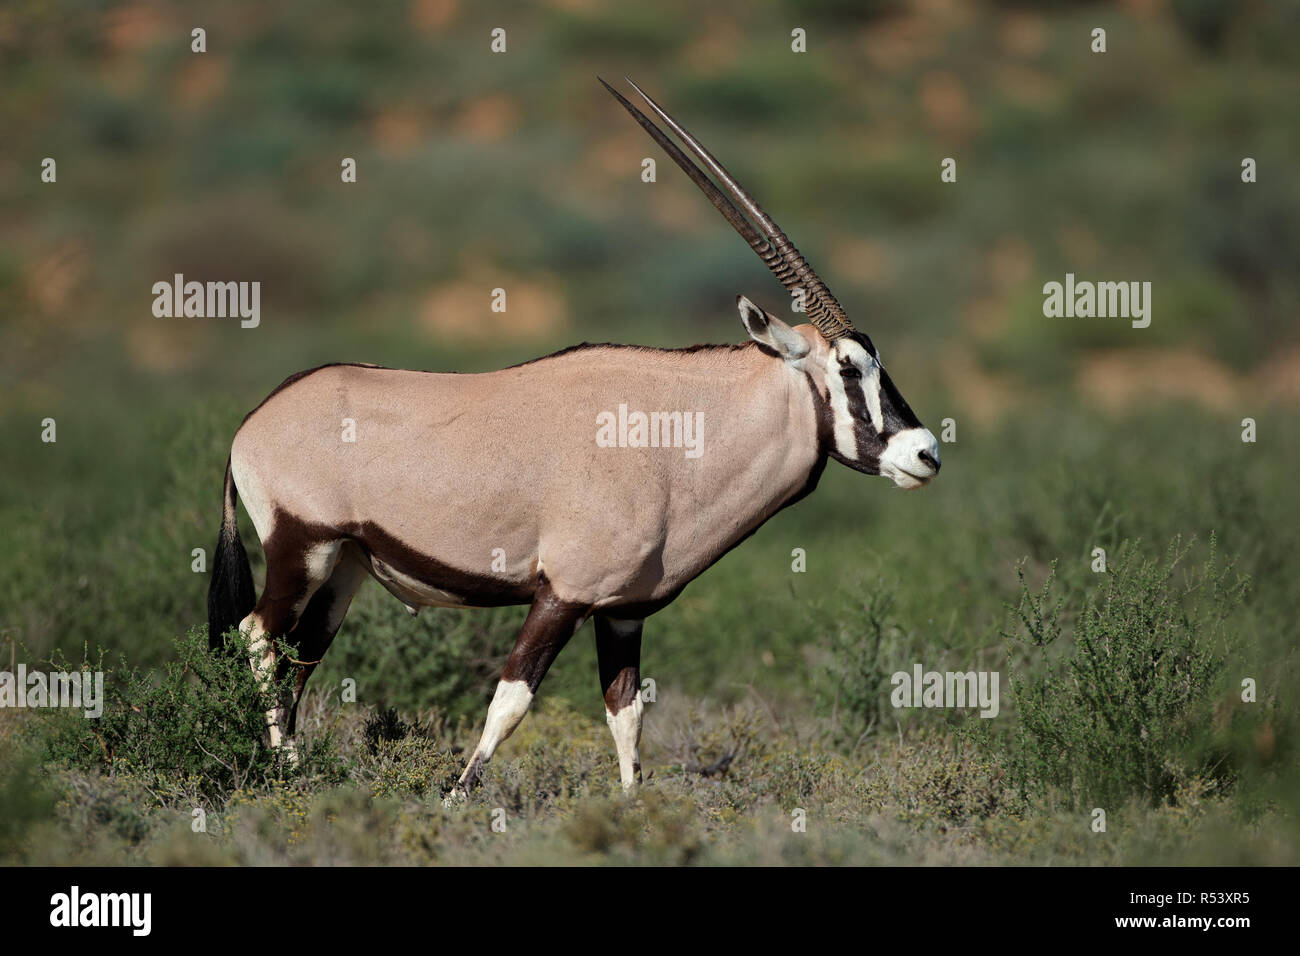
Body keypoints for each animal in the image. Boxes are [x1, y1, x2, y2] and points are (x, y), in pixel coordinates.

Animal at [207, 78, 941, 795]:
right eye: (848, 367)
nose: (926, 452)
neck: (673, 438)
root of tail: (252, 422)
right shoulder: (564, 593)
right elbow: (510, 700)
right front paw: (456, 797)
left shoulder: (623, 610)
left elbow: (625, 714)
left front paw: (631, 809)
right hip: (303, 546)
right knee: (259, 640)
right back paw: (287, 776)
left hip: (346, 566)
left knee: (301, 656)